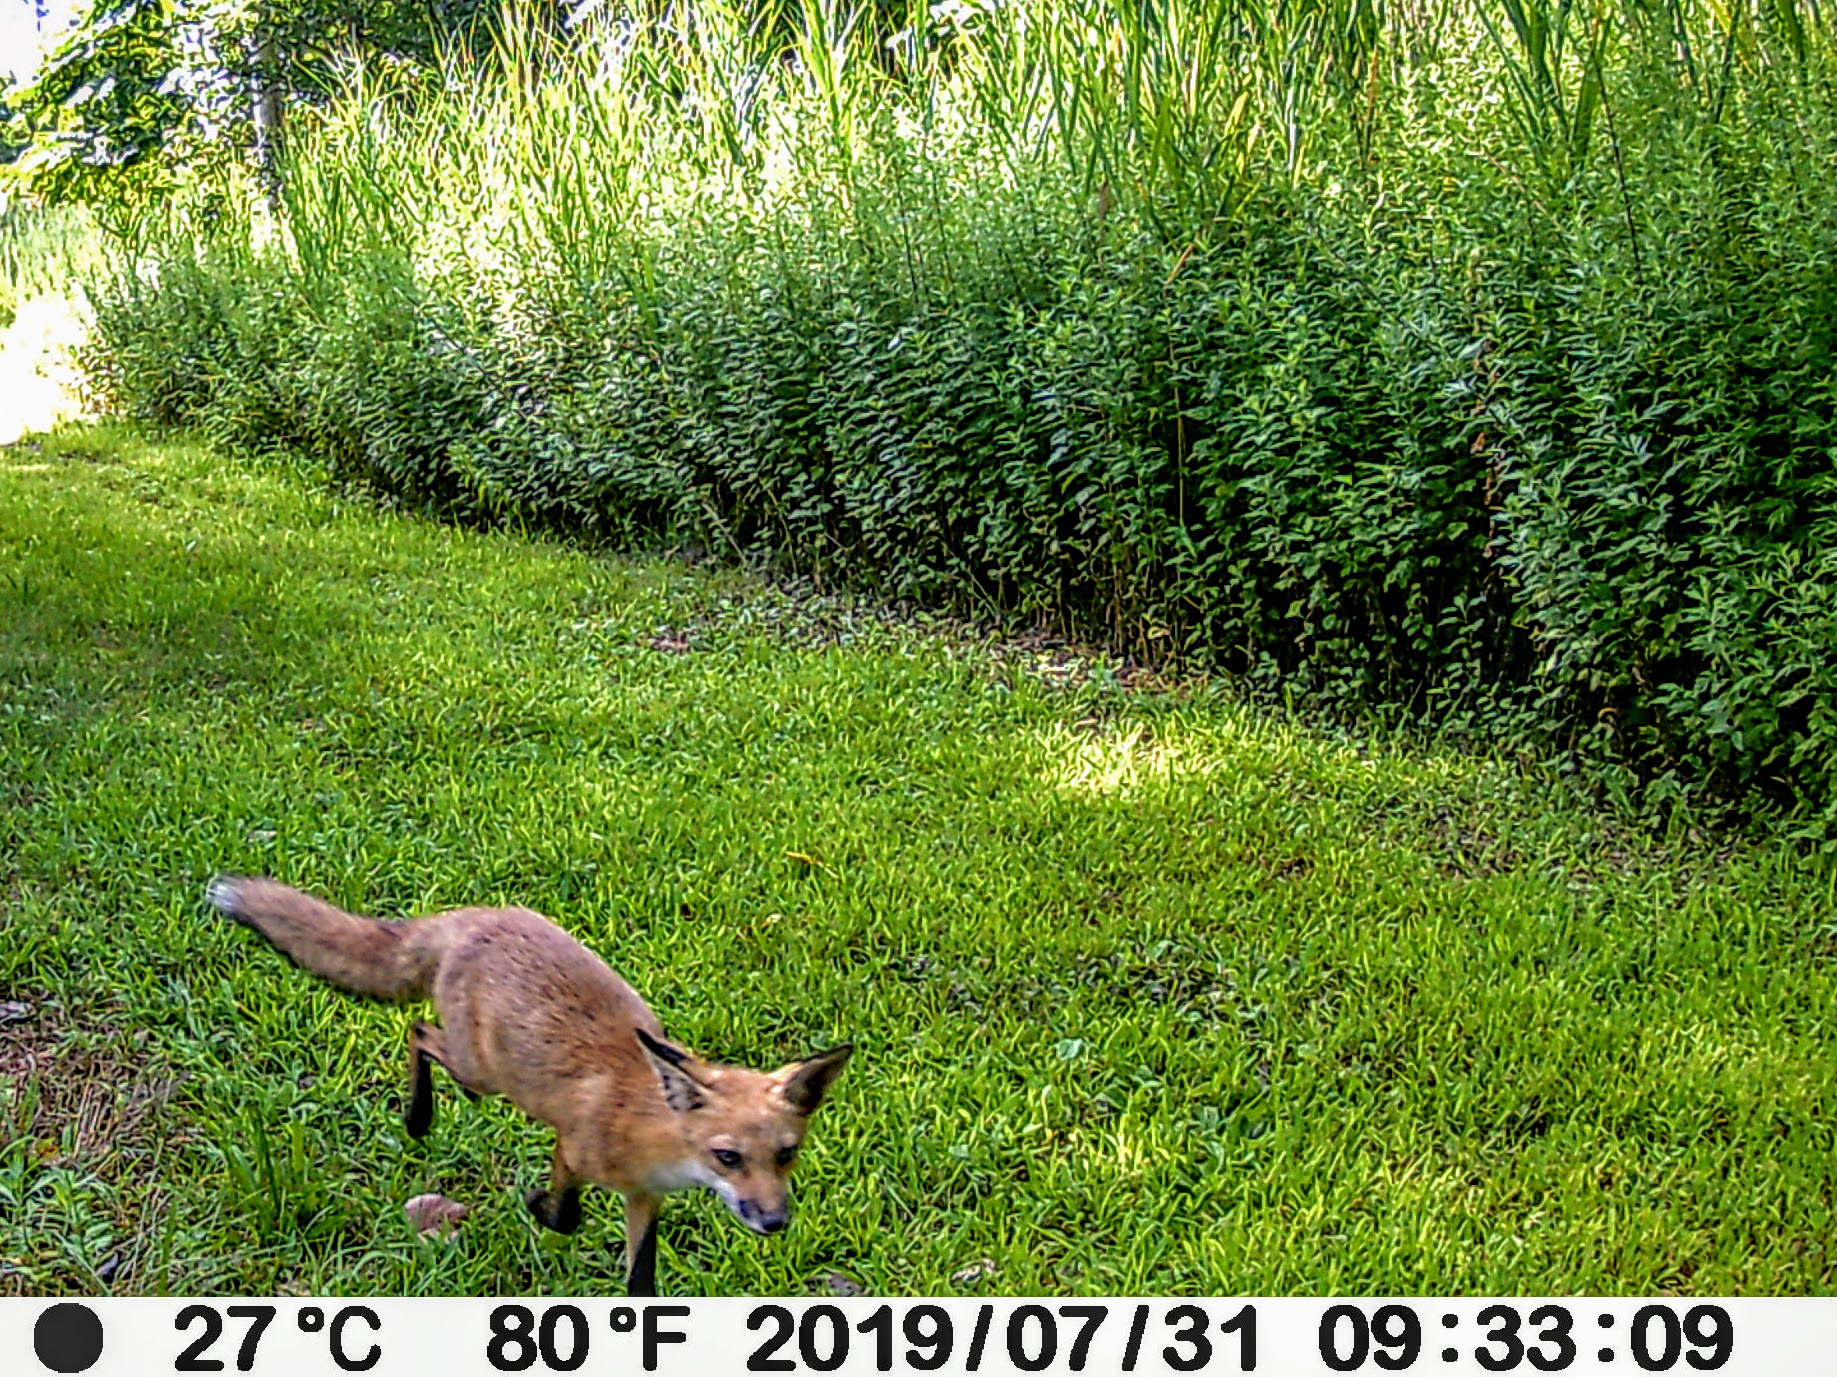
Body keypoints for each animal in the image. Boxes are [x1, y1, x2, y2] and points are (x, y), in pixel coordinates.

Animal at [205, 875, 852, 1296]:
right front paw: (535, 1204)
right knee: (418, 1032)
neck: (651, 1131)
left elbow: (641, 1281)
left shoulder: (645, 1198)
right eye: (728, 1156)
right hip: (482, 1067)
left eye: (786, 1154)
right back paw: (419, 1117)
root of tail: (468, 916)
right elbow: (564, 1216)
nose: (775, 1223)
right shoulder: (574, 1149)